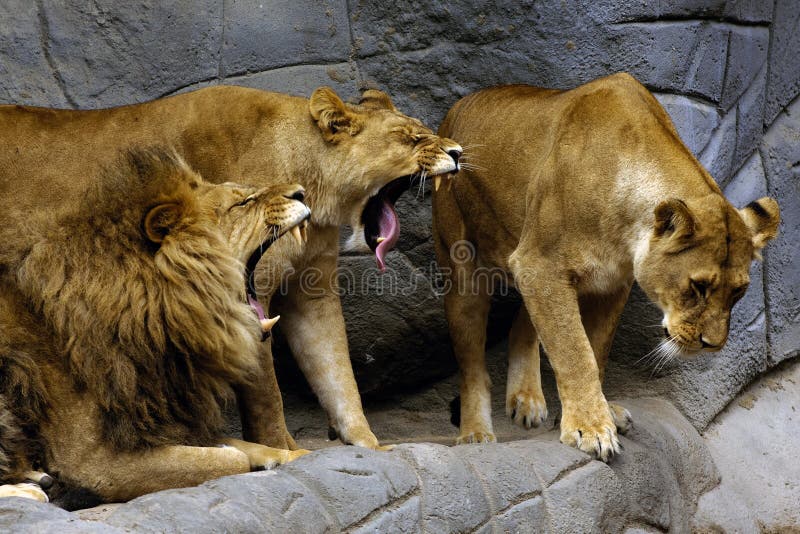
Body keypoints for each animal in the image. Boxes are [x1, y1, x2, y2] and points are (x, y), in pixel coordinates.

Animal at [0, 86, 462, 451]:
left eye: (424, 129)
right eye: (411, 137)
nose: (457, 152)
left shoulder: (311, 291)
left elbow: (337, 374)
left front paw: (371, 447)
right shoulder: (241, 290)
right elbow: (268, 395)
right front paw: (287, 452)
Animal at [0, 149, 310, 504]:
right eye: (242, 202)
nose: (301, 192)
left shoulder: (164, 416)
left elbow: (246, 446)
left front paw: (295, 454)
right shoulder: (94, 460)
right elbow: (230, 459)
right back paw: (32, 489)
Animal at [433, 73, 780, 461]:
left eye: (739, 291)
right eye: (698, 286)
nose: (712, 345)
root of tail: (455, 110)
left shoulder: (609, 283)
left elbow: (596, 349)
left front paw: (597, 415)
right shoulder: (539, 263)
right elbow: (574, 350)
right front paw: (591, 428)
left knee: (524, 323)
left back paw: (527, 399)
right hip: (463, 265)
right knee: (472, 363)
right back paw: (475, 433)